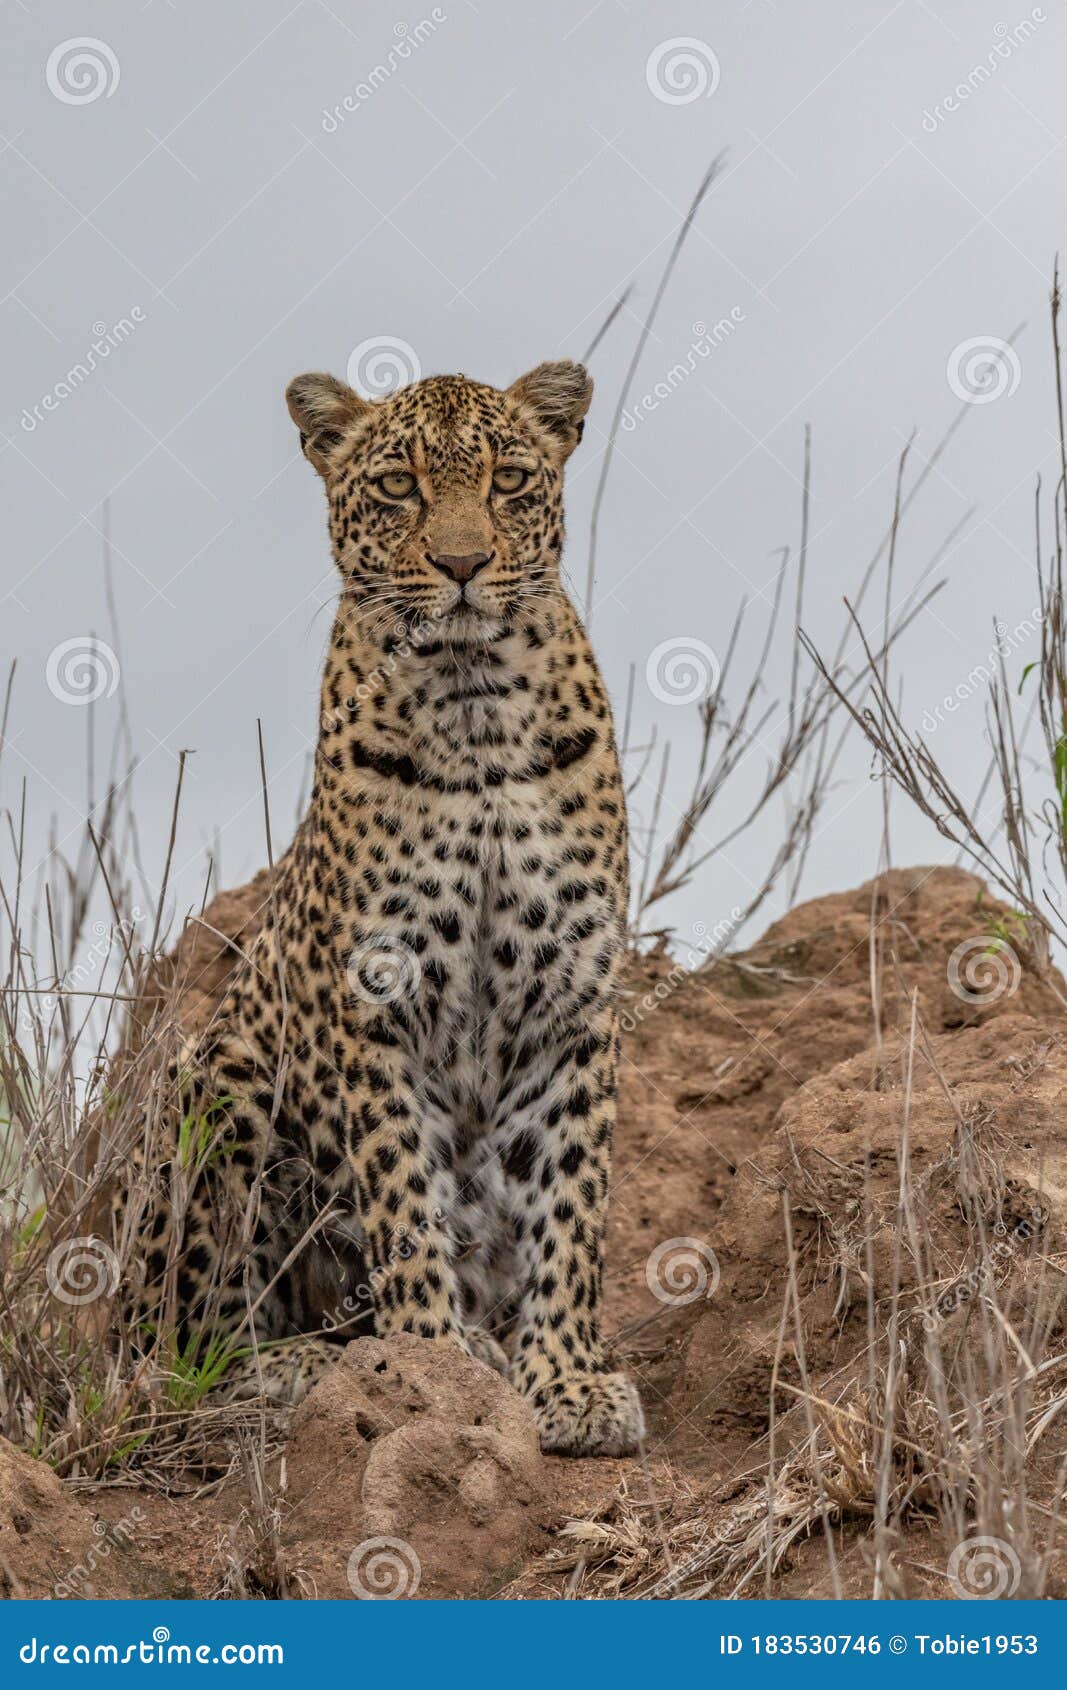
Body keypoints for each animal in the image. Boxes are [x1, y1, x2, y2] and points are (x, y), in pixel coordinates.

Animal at [119, 355, 644, 1458]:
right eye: (399, 486)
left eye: (507, 480)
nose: (461, 563)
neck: (475, 700)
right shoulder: (379, 996)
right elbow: (404, 1198)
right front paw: (432, 1365)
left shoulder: (572, 1001)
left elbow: (571, 1205)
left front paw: (567, 1380)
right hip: (215, 1082)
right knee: (181, 1363)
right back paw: (314, 1366)